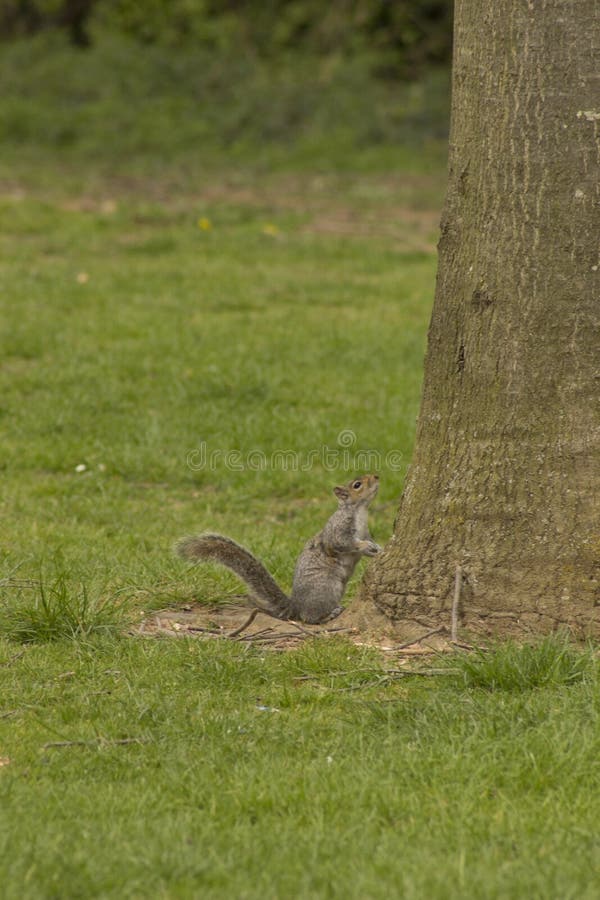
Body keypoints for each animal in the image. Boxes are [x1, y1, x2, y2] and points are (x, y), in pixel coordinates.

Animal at [175, 474, 381, 624]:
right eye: (357, 484)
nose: (377, 476)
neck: (360, 511)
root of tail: (296, 605)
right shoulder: (337, 530)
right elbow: (343, 543)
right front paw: (364, 546)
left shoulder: (365, 531)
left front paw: (376, 547)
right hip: (326, 588)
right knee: (309, 617)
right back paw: (329, 614)